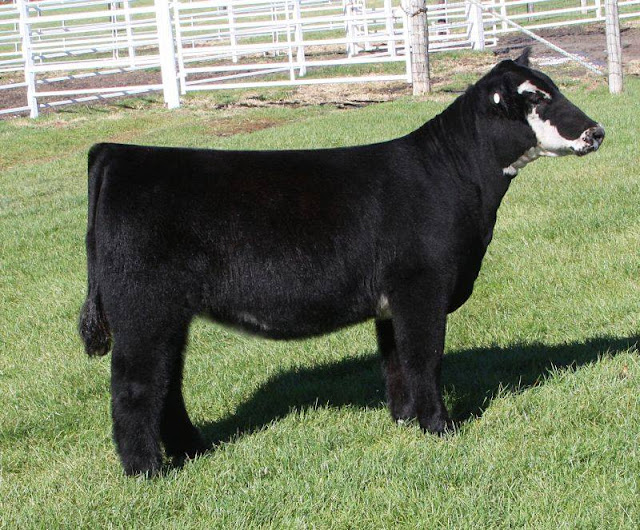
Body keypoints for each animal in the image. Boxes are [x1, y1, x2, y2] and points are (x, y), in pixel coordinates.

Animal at [79, 49, 604, 476]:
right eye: (535, 97)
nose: (596, 131)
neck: (452, 176)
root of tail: (116, 152)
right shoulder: (422, 288)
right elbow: (425, 358)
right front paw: (440, 427)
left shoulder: (393, 302)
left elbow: (397, 363)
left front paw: (405, 421)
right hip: (144, 310)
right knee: (136, 387)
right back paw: (146, 470)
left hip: (169, 316)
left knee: (167, 384)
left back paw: (194, 450)